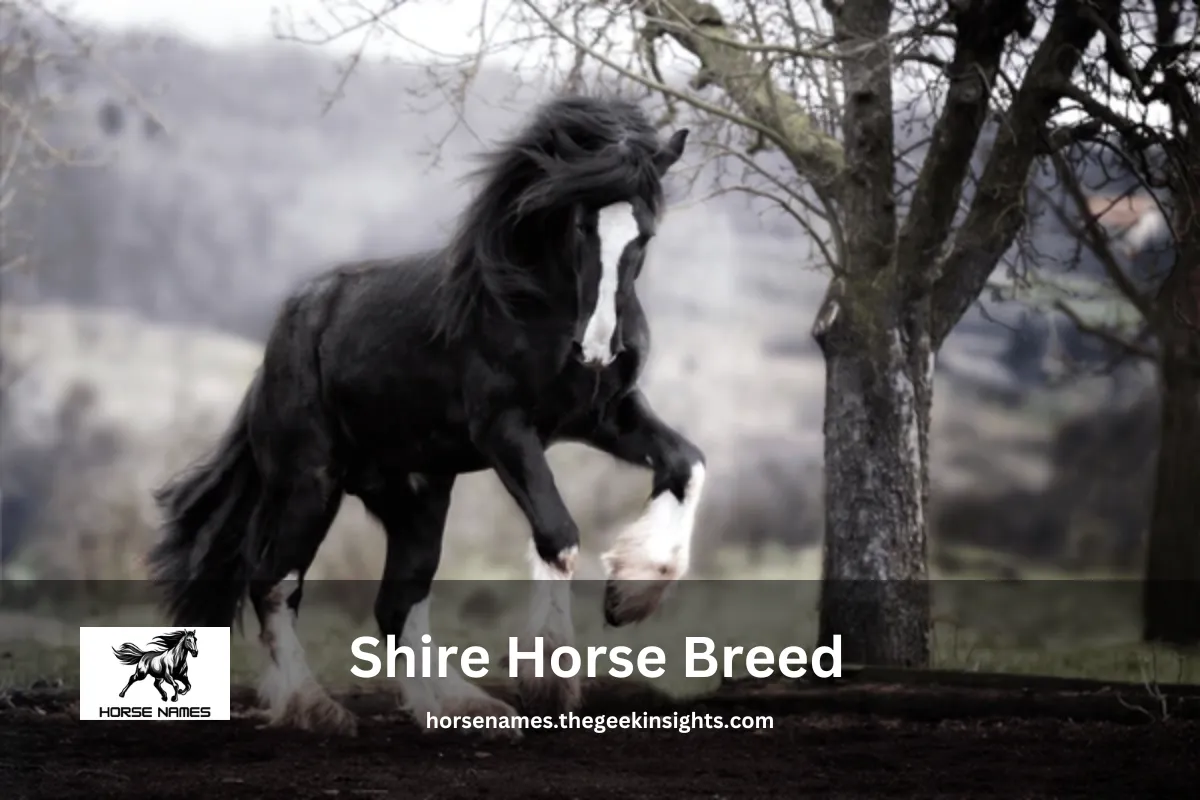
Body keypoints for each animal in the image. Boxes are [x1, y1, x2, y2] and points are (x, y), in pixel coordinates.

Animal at [147, 94, 704, 737]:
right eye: (579, 224)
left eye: (644, 233)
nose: (596, 350)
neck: (531, 305)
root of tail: (281, 343)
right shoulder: (504, 430)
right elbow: (558, 532)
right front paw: (550, 684)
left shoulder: (602, 416)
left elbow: (688, 464)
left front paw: (631, 593)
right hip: (309, 483)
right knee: (274, 584)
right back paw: (317, 709)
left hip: (415, 494)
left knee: (396, 602)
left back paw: (459, 709)